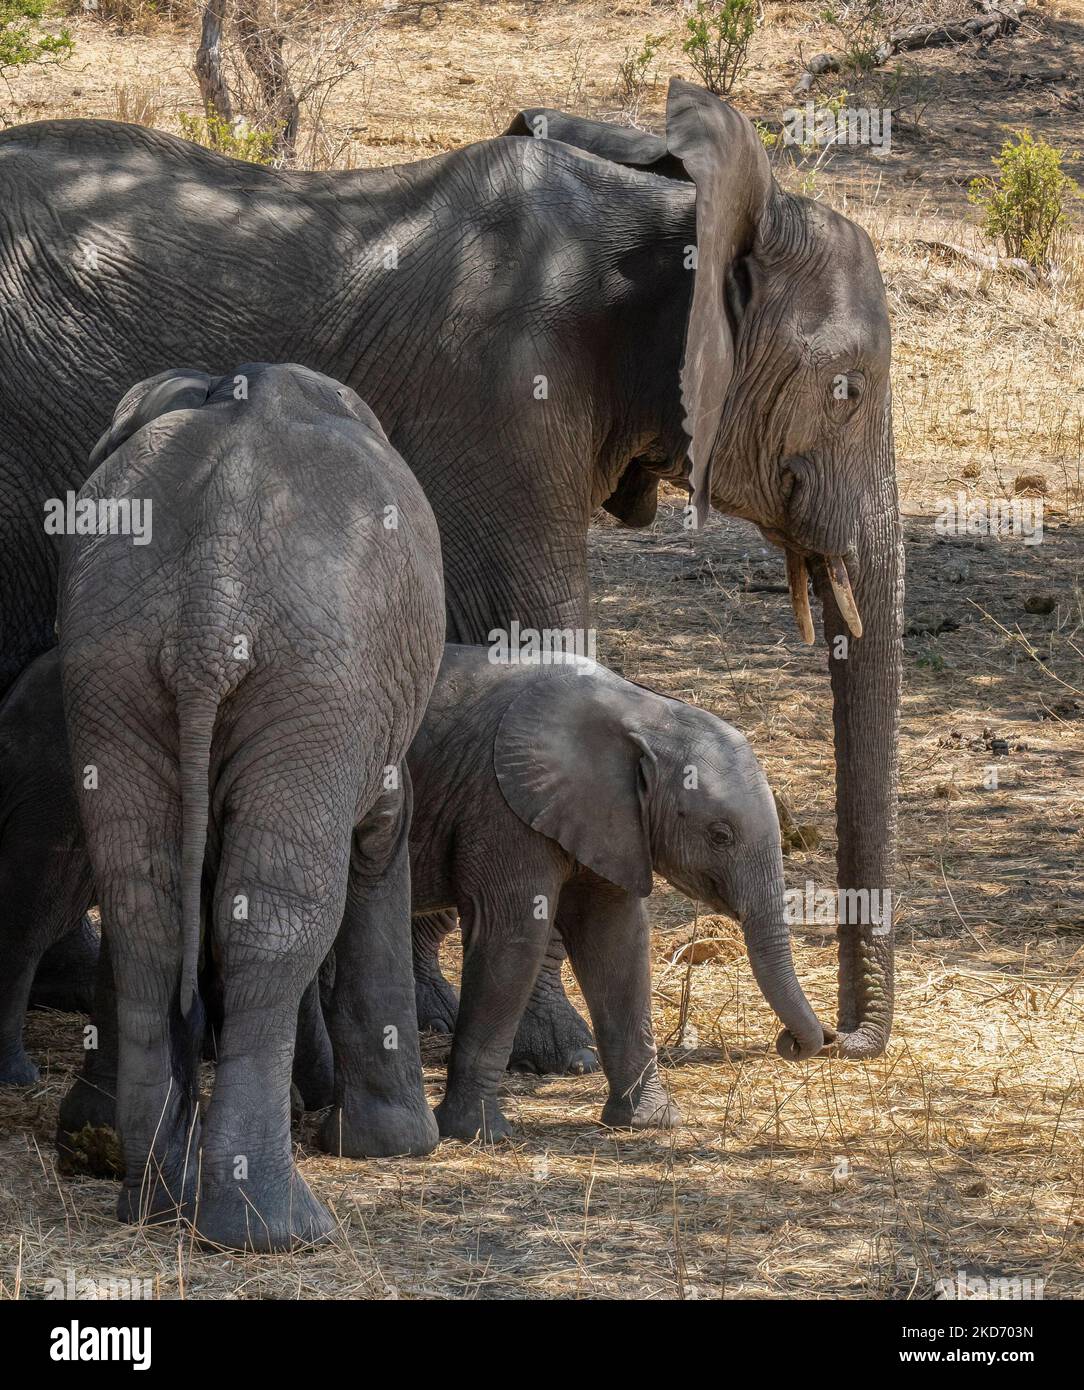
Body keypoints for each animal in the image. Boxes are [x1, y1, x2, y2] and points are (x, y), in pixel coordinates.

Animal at [0, 78, 901, 1066]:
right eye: (849, 391)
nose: (833, 1041)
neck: (676, 214)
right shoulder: (499, 396)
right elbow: (532, 632)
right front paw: (557, 1051)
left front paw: (433, 1007)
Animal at [57, 362, 445, 1251]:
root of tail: (212, 594)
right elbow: (380, 842)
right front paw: (396, 1145)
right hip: (318, 679)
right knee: (276, 915)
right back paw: (273, 1229)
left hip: (111, 662)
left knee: (145, 908)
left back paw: (155, 1200)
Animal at [403, 644, 827, 1142]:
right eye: (720, 836)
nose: (792, 1043)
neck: (646, 716)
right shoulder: (500, 806)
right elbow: (511, 936)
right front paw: (478, 1132)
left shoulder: (607, 817)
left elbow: (615, 939)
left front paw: (650, 1121)